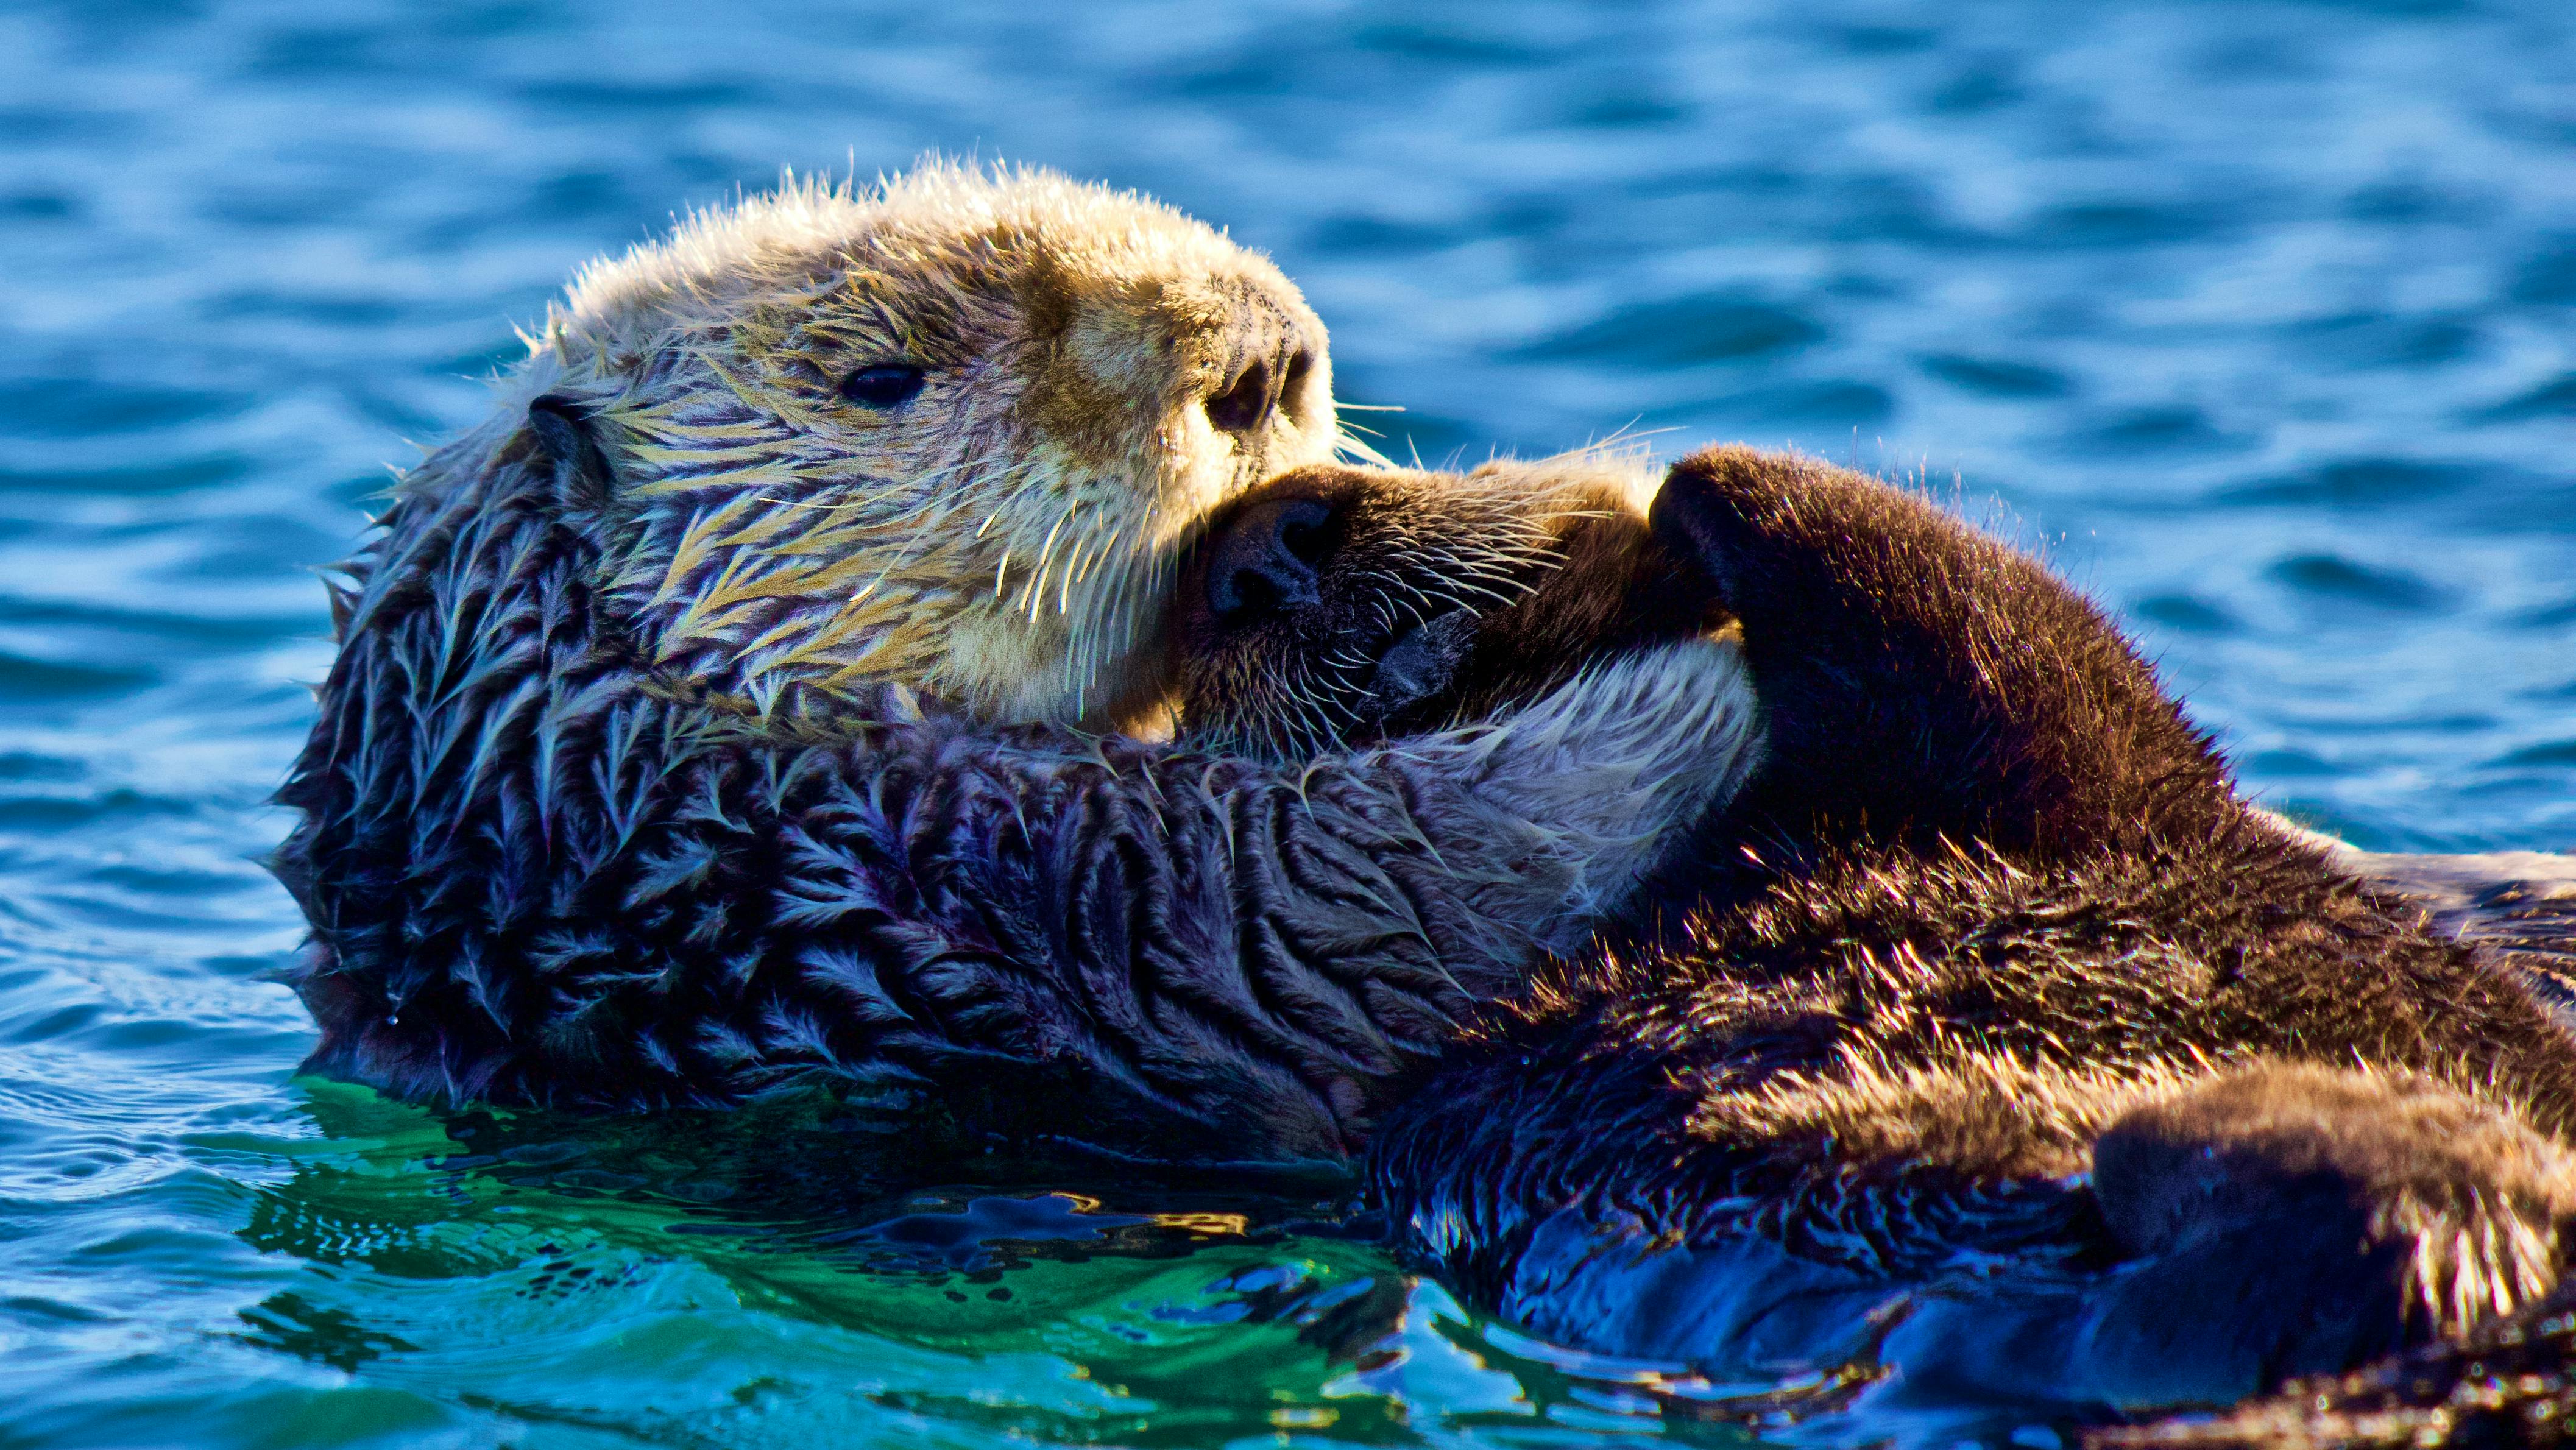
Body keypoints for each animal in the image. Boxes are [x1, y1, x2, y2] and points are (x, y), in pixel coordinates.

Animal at [1170, 447, 2576, 1421]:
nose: (1263, 546)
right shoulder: (2043, 758)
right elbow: (1920, 588)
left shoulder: (2041, 794)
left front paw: (1625, 532)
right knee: (2356, 1220)